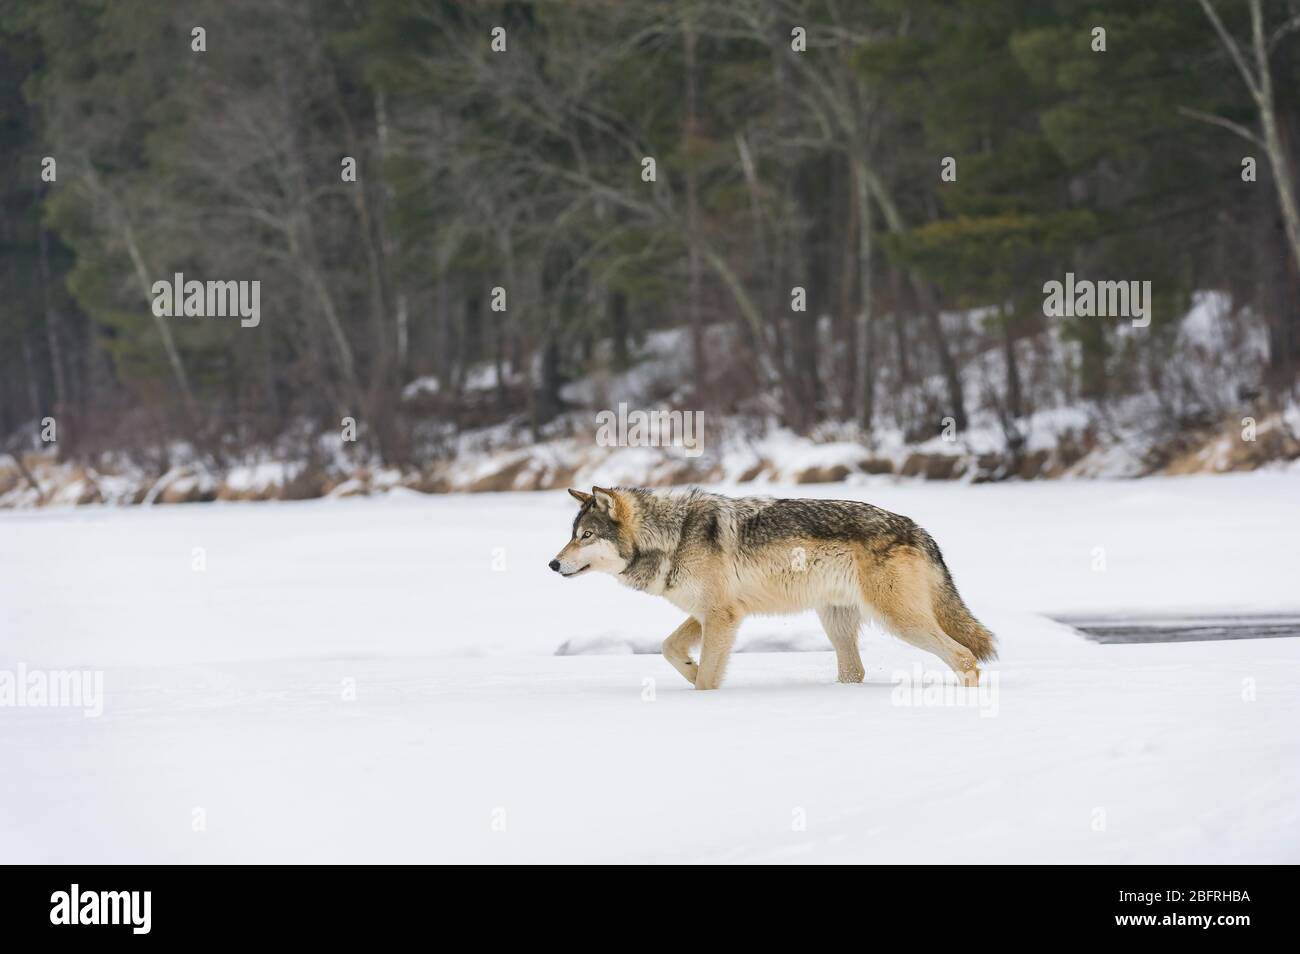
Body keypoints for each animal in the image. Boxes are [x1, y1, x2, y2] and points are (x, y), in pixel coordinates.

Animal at [549, 486, 996, 690]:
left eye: (587, 535)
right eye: (572, 534)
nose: (552, 564)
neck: (672, 536)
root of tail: (919, 529)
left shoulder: (722, 616)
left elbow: (708, 676)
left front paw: (701, 693)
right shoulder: (711, 612)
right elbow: (669, 647)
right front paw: (690, 671)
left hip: (900, 621)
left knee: (964, 656)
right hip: (836, 624)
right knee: (856, 671)